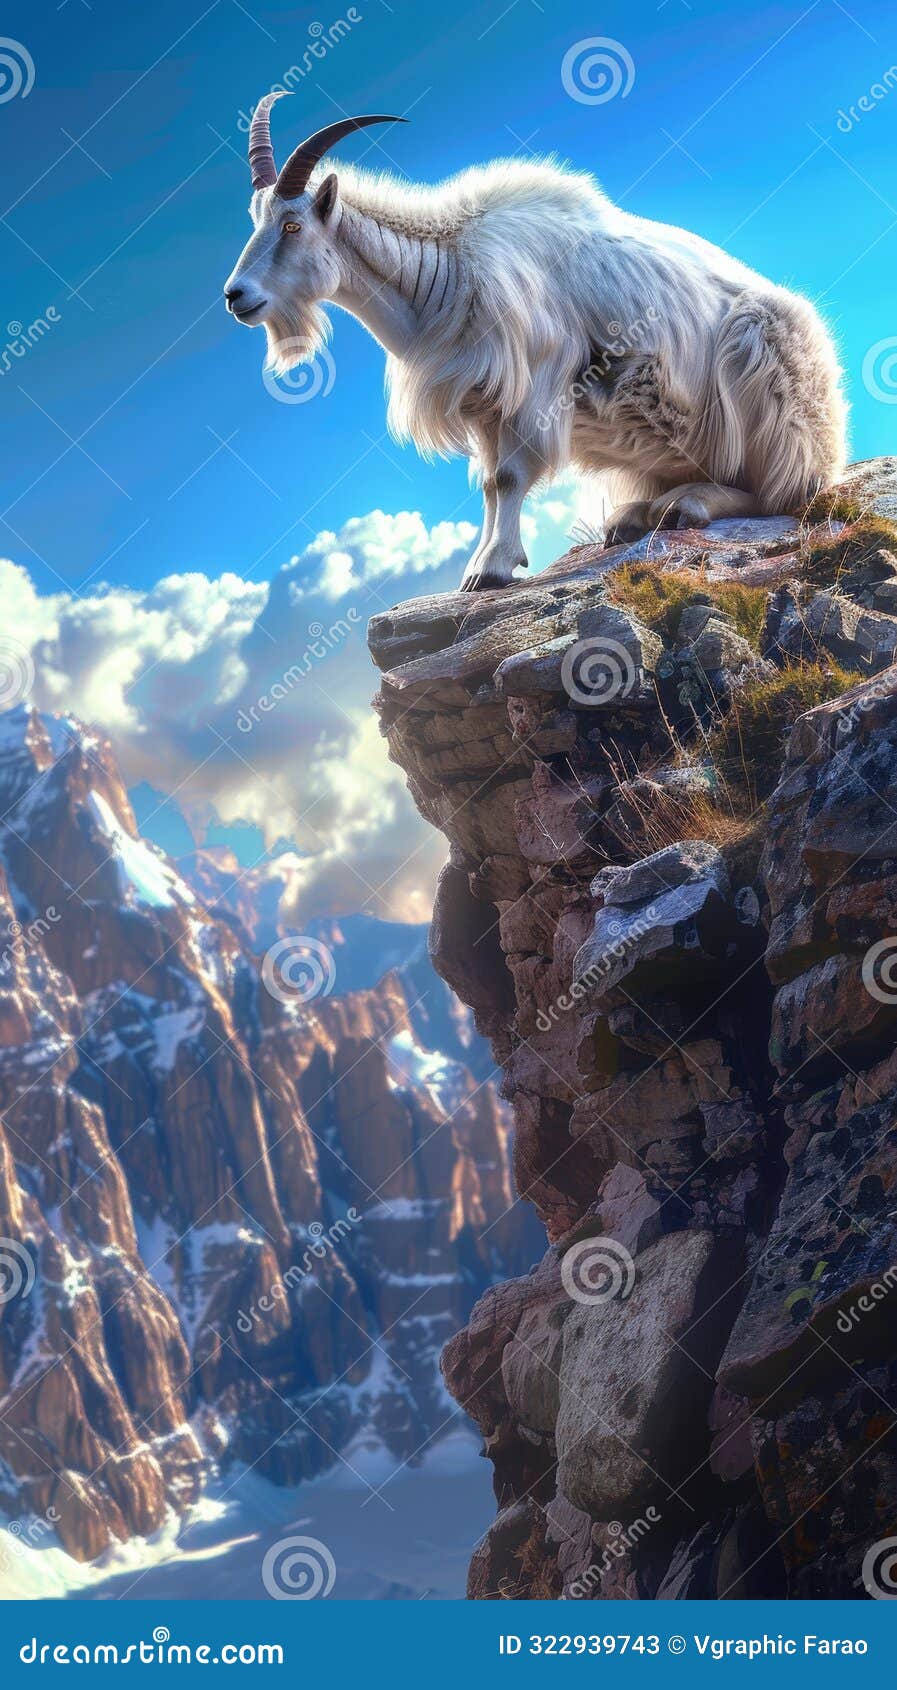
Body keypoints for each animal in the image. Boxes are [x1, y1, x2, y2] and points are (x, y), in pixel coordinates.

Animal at [224, 96, 846, 591]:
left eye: (293, 226)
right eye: (255, 221)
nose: (236, 296)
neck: (450, 267)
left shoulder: (536, 380)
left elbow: (510, 476)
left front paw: (491, 569)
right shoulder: (481, 401)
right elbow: (488, 482)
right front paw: (481, 563)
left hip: (762, 371)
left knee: (784, 492)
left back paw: (688, 505)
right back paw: (637, 514)